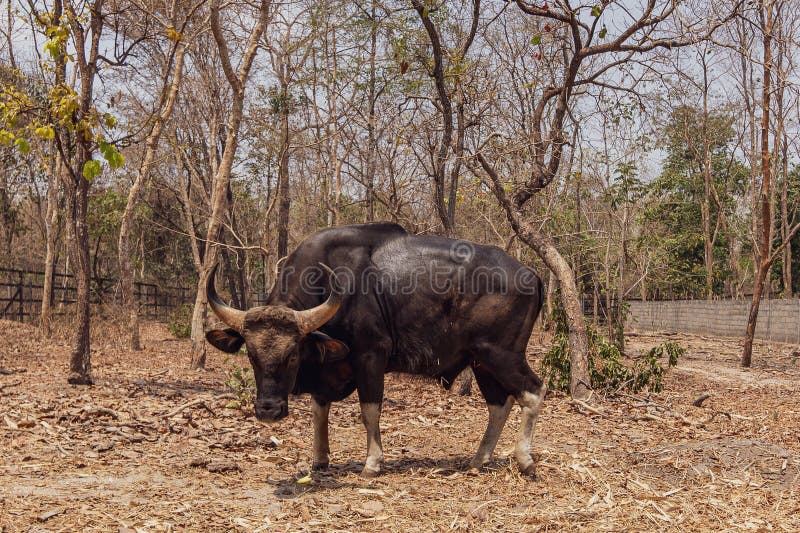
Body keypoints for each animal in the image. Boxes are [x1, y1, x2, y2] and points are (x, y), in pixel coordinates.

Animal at [205, 222, 546, 478]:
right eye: (251, 355)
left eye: (292, 355)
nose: (268, 410)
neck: (332, 281)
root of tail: (531, 274)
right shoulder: (327, 368)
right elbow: (319, 409)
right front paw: (319, 459)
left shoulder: (370, 357)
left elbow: (369, 410)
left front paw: (372, 462)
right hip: (480, 361)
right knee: (499, 404)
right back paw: (479, 460)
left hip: (501, 354)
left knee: (532, 391)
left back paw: (524, 459)